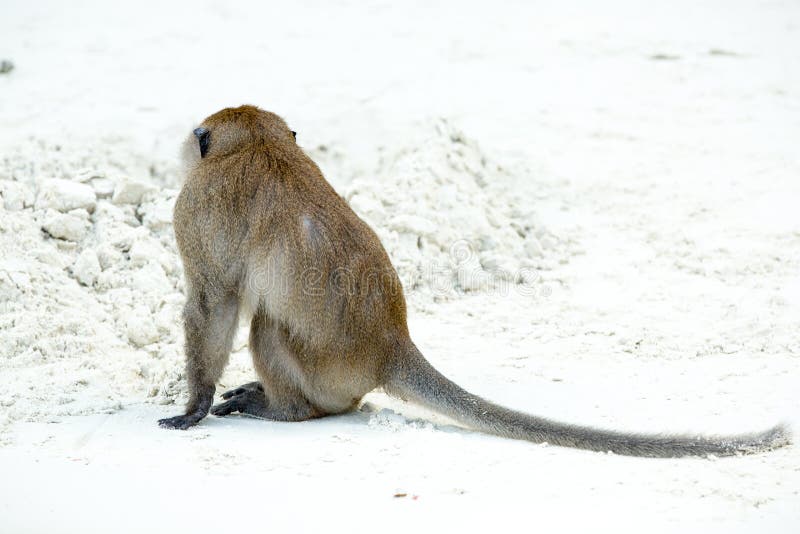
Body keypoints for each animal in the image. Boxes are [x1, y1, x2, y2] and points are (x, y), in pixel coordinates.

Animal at [158, 105, 790, 458]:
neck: (259, 143)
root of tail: (392, 347)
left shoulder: (196, 208)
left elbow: (213, 303)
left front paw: (195, 404)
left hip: (325, 373)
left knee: (266, 329)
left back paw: (284, 410)